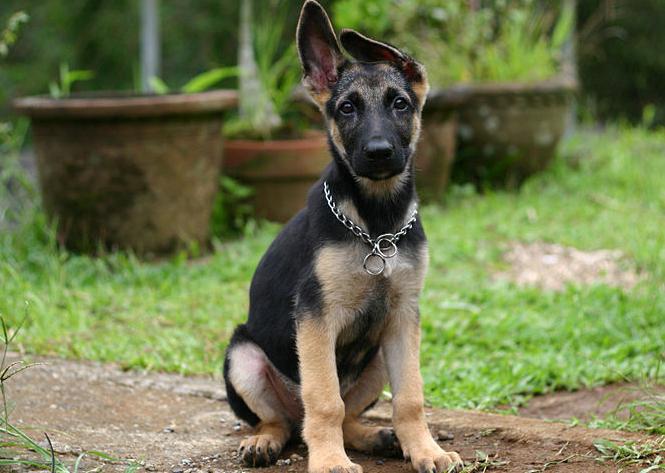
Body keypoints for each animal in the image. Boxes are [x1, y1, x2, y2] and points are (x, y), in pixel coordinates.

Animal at [223, 1, 462, 470]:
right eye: (348, 108)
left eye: (400, 104)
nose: (379, 152)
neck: (376, 225)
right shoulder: (316, 316)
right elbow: (324, 399)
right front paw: (330, 460)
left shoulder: (403, 316)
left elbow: (410, 397)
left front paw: (427, 450)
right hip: (243, 355)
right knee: (281, 421)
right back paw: (265, 441)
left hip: (375, 359)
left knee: (347, 414)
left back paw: (374, 437)